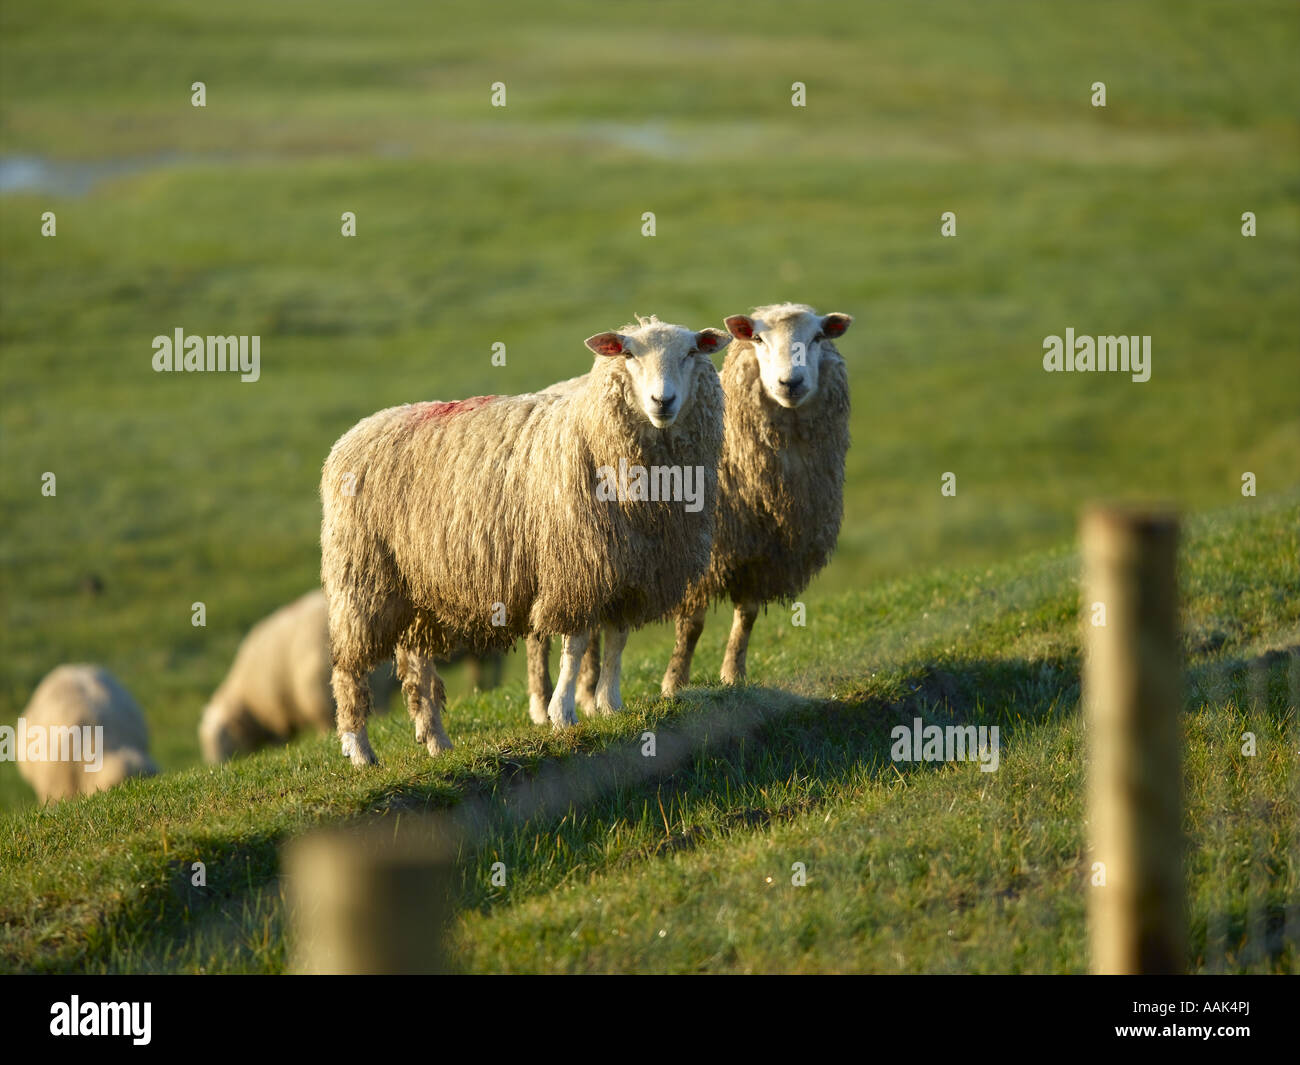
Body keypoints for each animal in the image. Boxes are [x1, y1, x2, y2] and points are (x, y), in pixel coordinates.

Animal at [320, 315, 729, 765]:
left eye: (690, 353)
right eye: (628, 354)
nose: (662, 401)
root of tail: (352, 435)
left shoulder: (632, 572)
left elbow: (617, 640)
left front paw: (610, 705)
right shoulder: (575, 567)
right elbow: (576, 645)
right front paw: (562, 713)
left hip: (417, 589)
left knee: (416, 663)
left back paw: (436, 740)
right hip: (361, 577)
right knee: (348, 667)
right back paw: (359, 749)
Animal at [661, 303, 852, 696]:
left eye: (817, 337)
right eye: (760, 339)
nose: (790, 383)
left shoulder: (763, 556)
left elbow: (746, 616)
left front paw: (733, 674)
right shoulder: (701, 557)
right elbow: (691, 623)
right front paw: (674, 684)